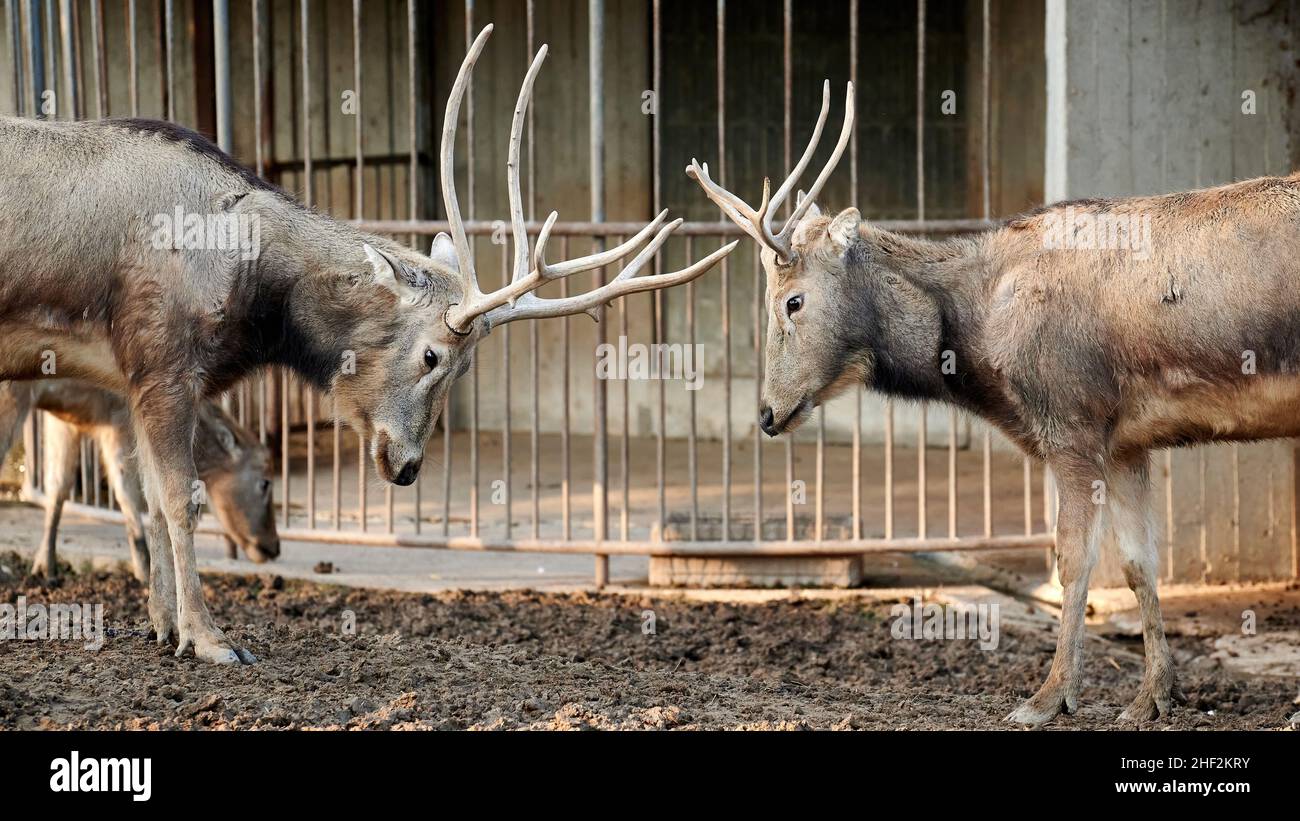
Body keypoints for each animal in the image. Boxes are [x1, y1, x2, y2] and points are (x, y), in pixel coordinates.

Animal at [0, 380, 279, 583]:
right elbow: (129, 491)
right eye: (265, 481)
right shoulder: (118, 420)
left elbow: (58, 485)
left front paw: (45, 567)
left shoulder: (64, 418)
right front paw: (145, 570)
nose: (274, 546)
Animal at [687, 79, 1300, 726]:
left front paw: (1047, 698)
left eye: (793, 301)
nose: (766, 413)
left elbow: (1073, 561)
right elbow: (1140, 564)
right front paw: (1153, 698)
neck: (981, 343)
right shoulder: (1128, 442)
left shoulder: (1071, 424)